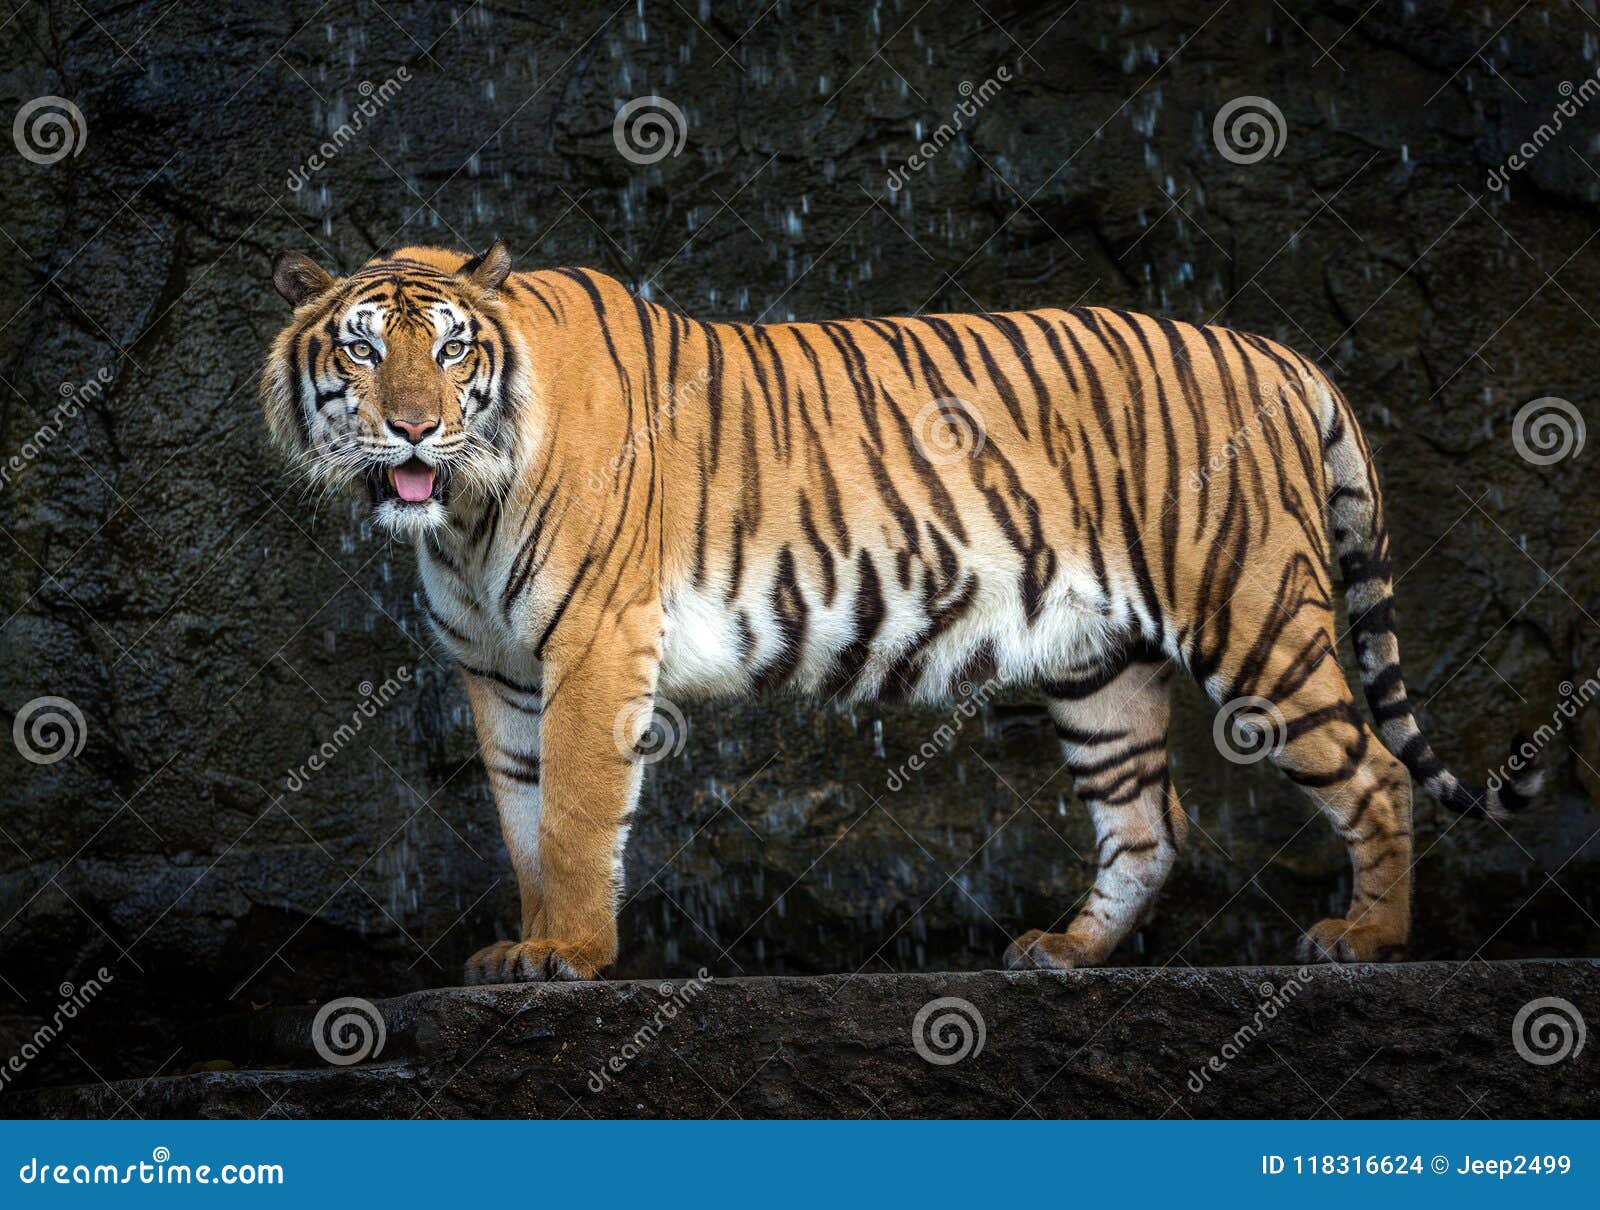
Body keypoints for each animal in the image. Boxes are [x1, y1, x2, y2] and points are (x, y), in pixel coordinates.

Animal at [261, 240, 1542, 984]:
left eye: (451, 350)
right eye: (362, 351)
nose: (415, 428)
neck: (463, 512)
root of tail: (1282, 354)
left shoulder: (590, 648)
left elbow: (575, 817)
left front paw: (569, 954)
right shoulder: (500, 672)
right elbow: (522, 820)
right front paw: (525, 943)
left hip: (1252, 611)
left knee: (1372, 770)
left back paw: (1364, 941)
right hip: (1099, 664)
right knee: (1146, 821)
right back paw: (1066, 952)